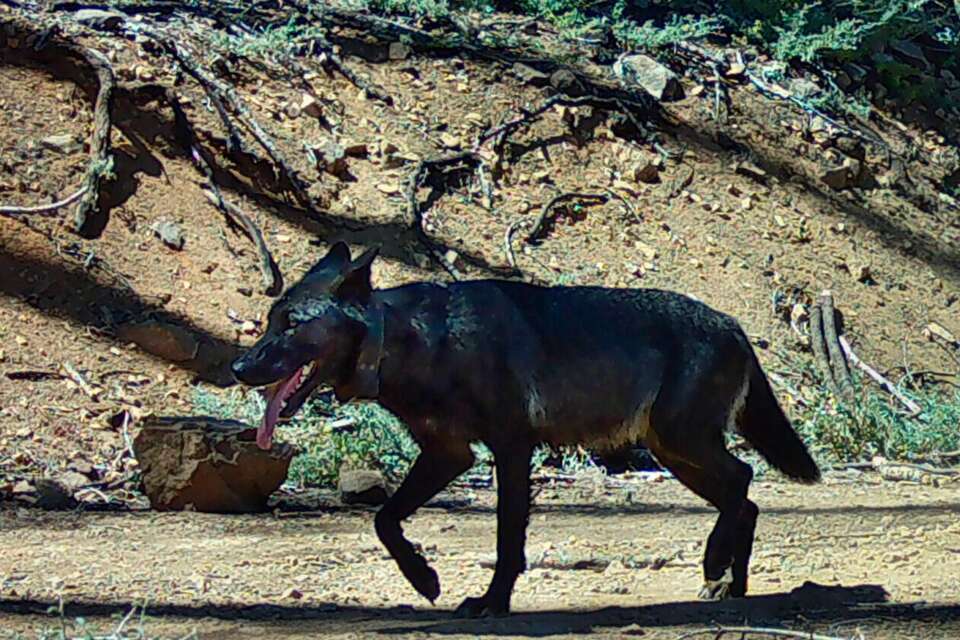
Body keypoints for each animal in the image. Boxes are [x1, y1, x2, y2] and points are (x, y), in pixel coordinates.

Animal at [231, 241, 820, 617]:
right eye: (269, 321)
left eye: (291, 325)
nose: (238, 367)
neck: (415, 342)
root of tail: (735, 325)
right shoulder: (450, 455)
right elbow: (385, 520)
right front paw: (425, 578)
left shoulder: (510, 448)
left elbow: (507, 537)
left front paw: (493, 602)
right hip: (676, 455)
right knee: (746, 499)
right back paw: (731, 586)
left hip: (683, 443)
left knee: (743, 480)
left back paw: (715, 564)